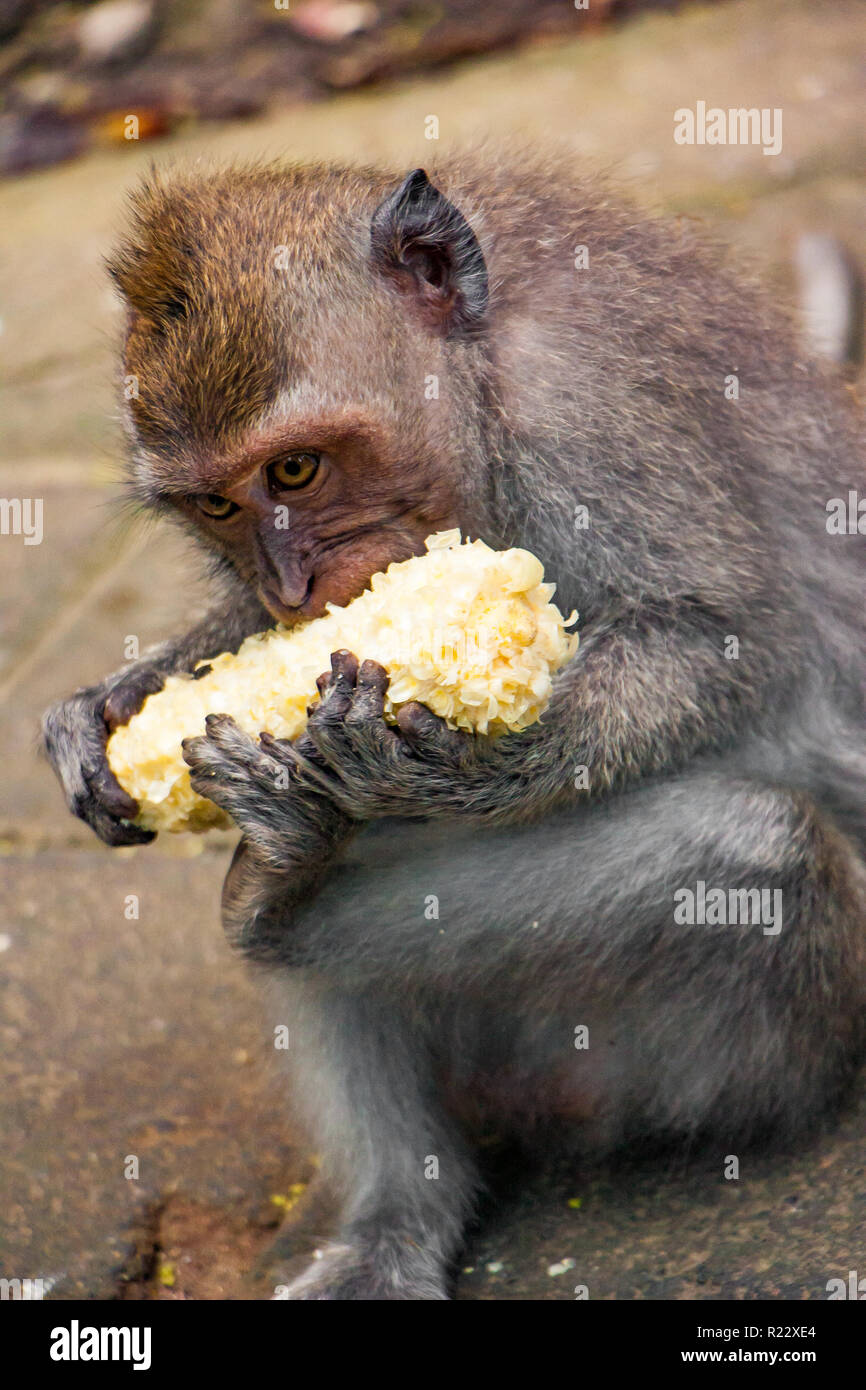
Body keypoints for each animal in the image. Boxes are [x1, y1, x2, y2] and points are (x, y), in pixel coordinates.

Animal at [42, 147, 866, 1300]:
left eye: (295, 468)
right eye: (217, 508)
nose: (292, 586)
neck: (476, 384)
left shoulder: (588, 406)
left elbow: (721, 644)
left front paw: (454, 773)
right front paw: (119, 700)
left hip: (750, 1045)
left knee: (757, 845)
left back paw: (280, 894)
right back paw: (398, 1204)